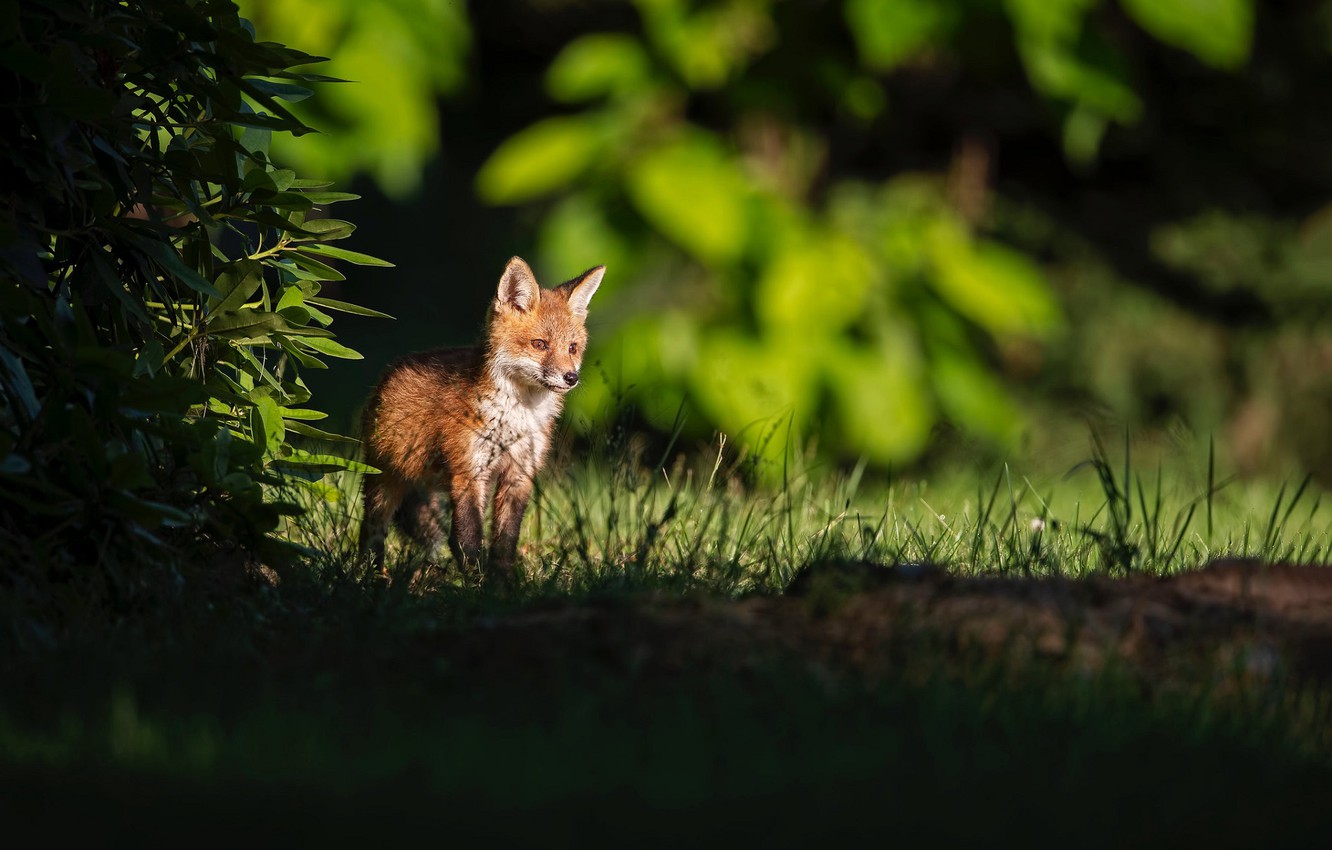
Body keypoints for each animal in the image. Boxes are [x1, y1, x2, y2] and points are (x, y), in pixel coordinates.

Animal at [357, 256, 603, 584]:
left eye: (572, 348)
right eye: (539, 344)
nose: (571, 377)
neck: (515, 418)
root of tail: (391, 369)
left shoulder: (518, 473)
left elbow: (505, 539)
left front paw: (504, 582)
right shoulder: (468, 471)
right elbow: (467, 540)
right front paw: (476, 584)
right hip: (386, 480)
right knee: (371, 531)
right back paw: (369, 575)